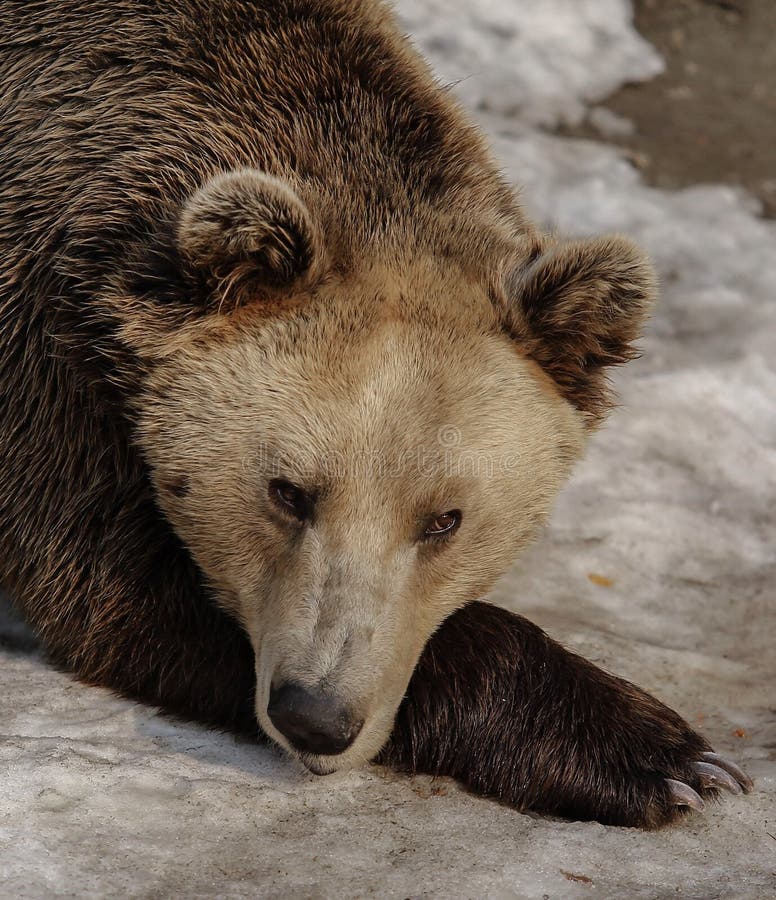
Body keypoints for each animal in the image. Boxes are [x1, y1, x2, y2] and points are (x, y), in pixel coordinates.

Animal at [0, 0, 750, 828]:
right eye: (287, 491)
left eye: (445, 520)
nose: (315, 716)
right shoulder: (47, 352)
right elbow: (108, 583)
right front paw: (661, 755)